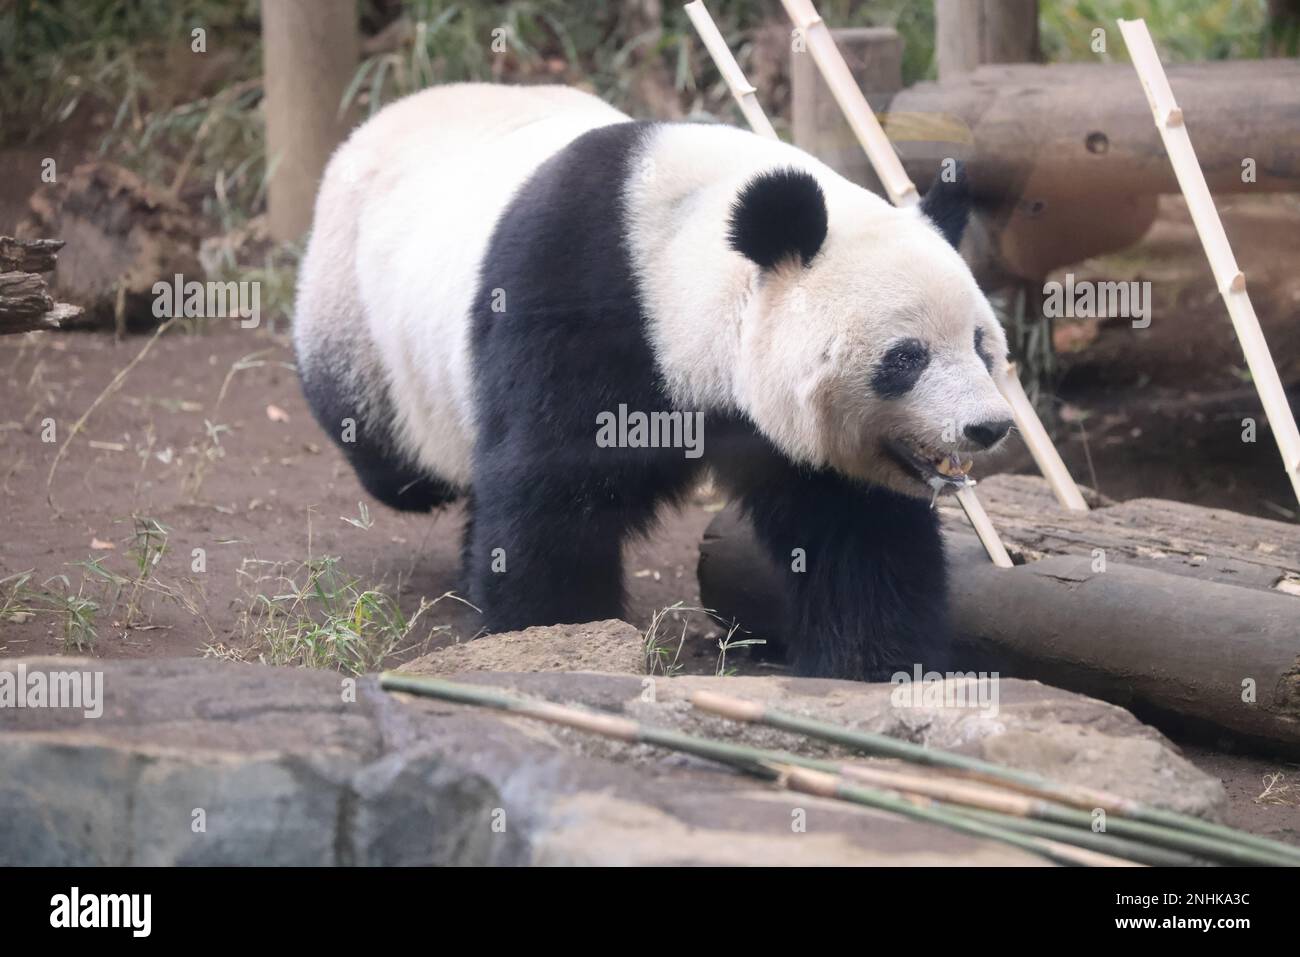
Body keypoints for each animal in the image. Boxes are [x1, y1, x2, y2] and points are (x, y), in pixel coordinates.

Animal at [293, 83, 1015, 681]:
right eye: (907, 357)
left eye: (983, 347)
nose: (989, 426)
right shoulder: (577, 302)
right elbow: (552, 489)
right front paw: (551, 629)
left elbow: (857, 535)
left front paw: (874, 666)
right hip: (355, 310)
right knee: (390, 451)